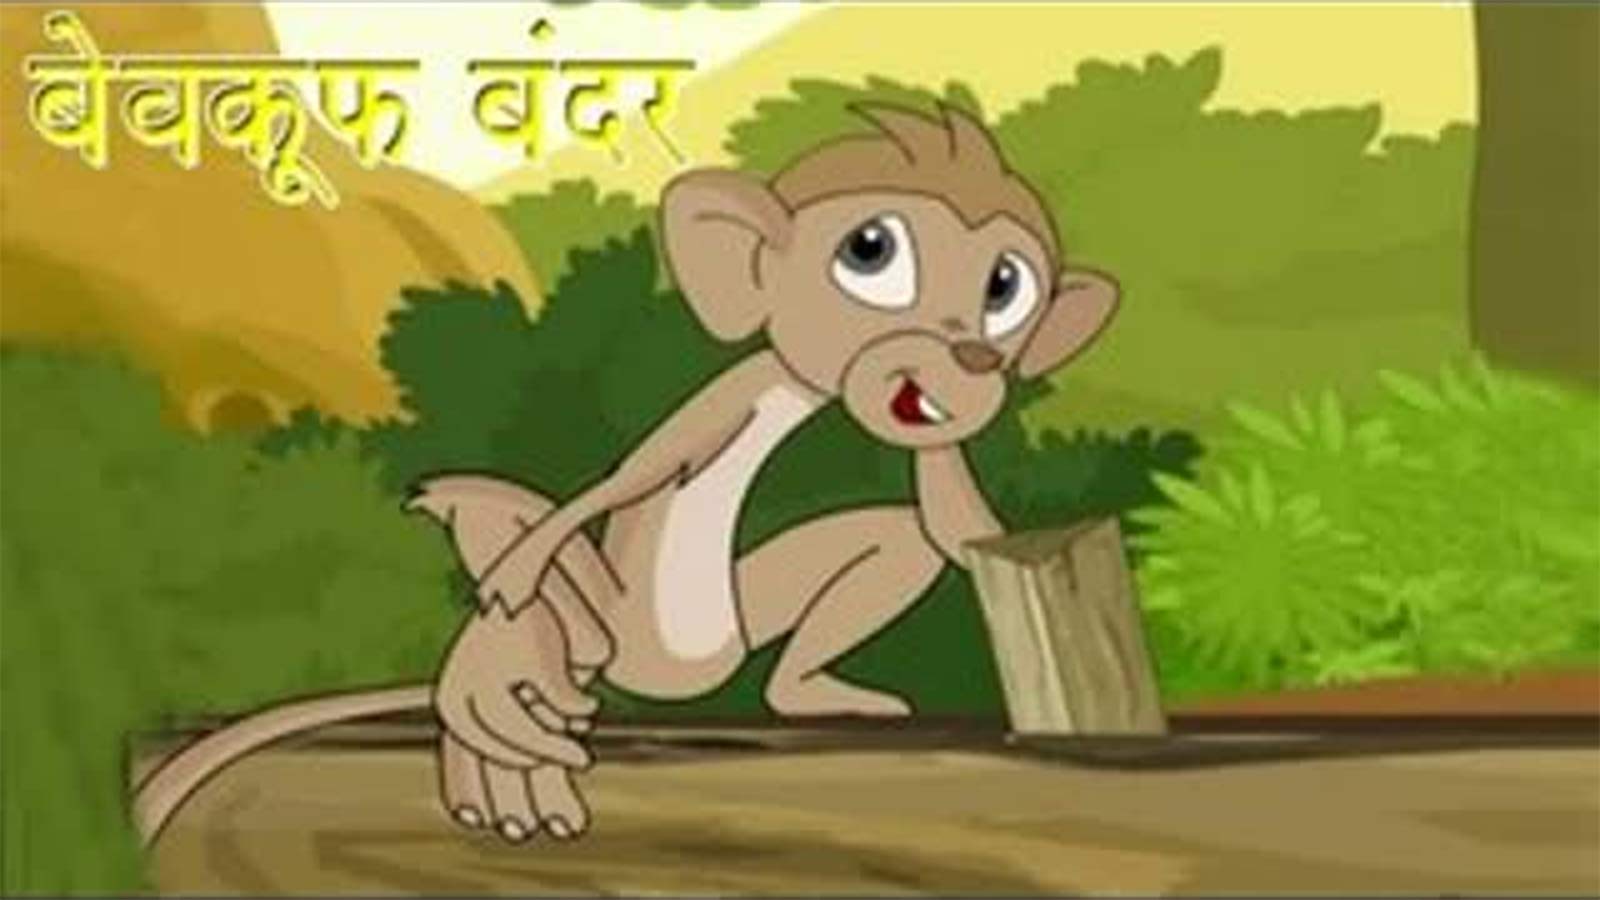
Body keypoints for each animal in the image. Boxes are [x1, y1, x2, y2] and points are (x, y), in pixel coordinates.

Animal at [131, 102, 1120, 849]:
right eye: (871, 251)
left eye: (1005, 288)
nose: (970, 357)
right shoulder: (724, 397)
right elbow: (621, 481)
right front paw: (518, 586)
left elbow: (951, 528)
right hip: (618, 640)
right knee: (536, 589)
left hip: (732, 627)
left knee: (889, 543)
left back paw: (804, 690)